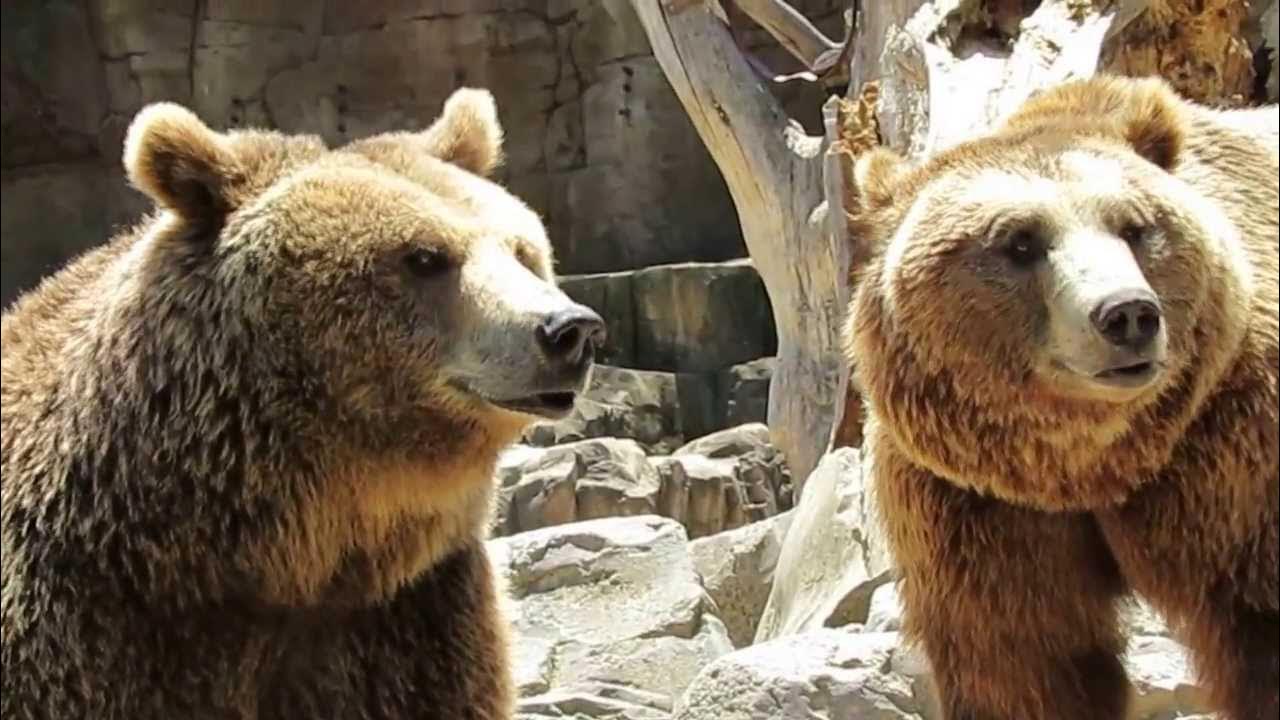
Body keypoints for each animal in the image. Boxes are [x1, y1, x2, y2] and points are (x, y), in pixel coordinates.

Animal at [843, 75, 1278, 720]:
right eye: (1020, 242)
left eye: (1134, 227)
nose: (1127, 313)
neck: (1088, 463)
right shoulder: (974, 506)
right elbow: (1026, 660)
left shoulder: (1230, 456)